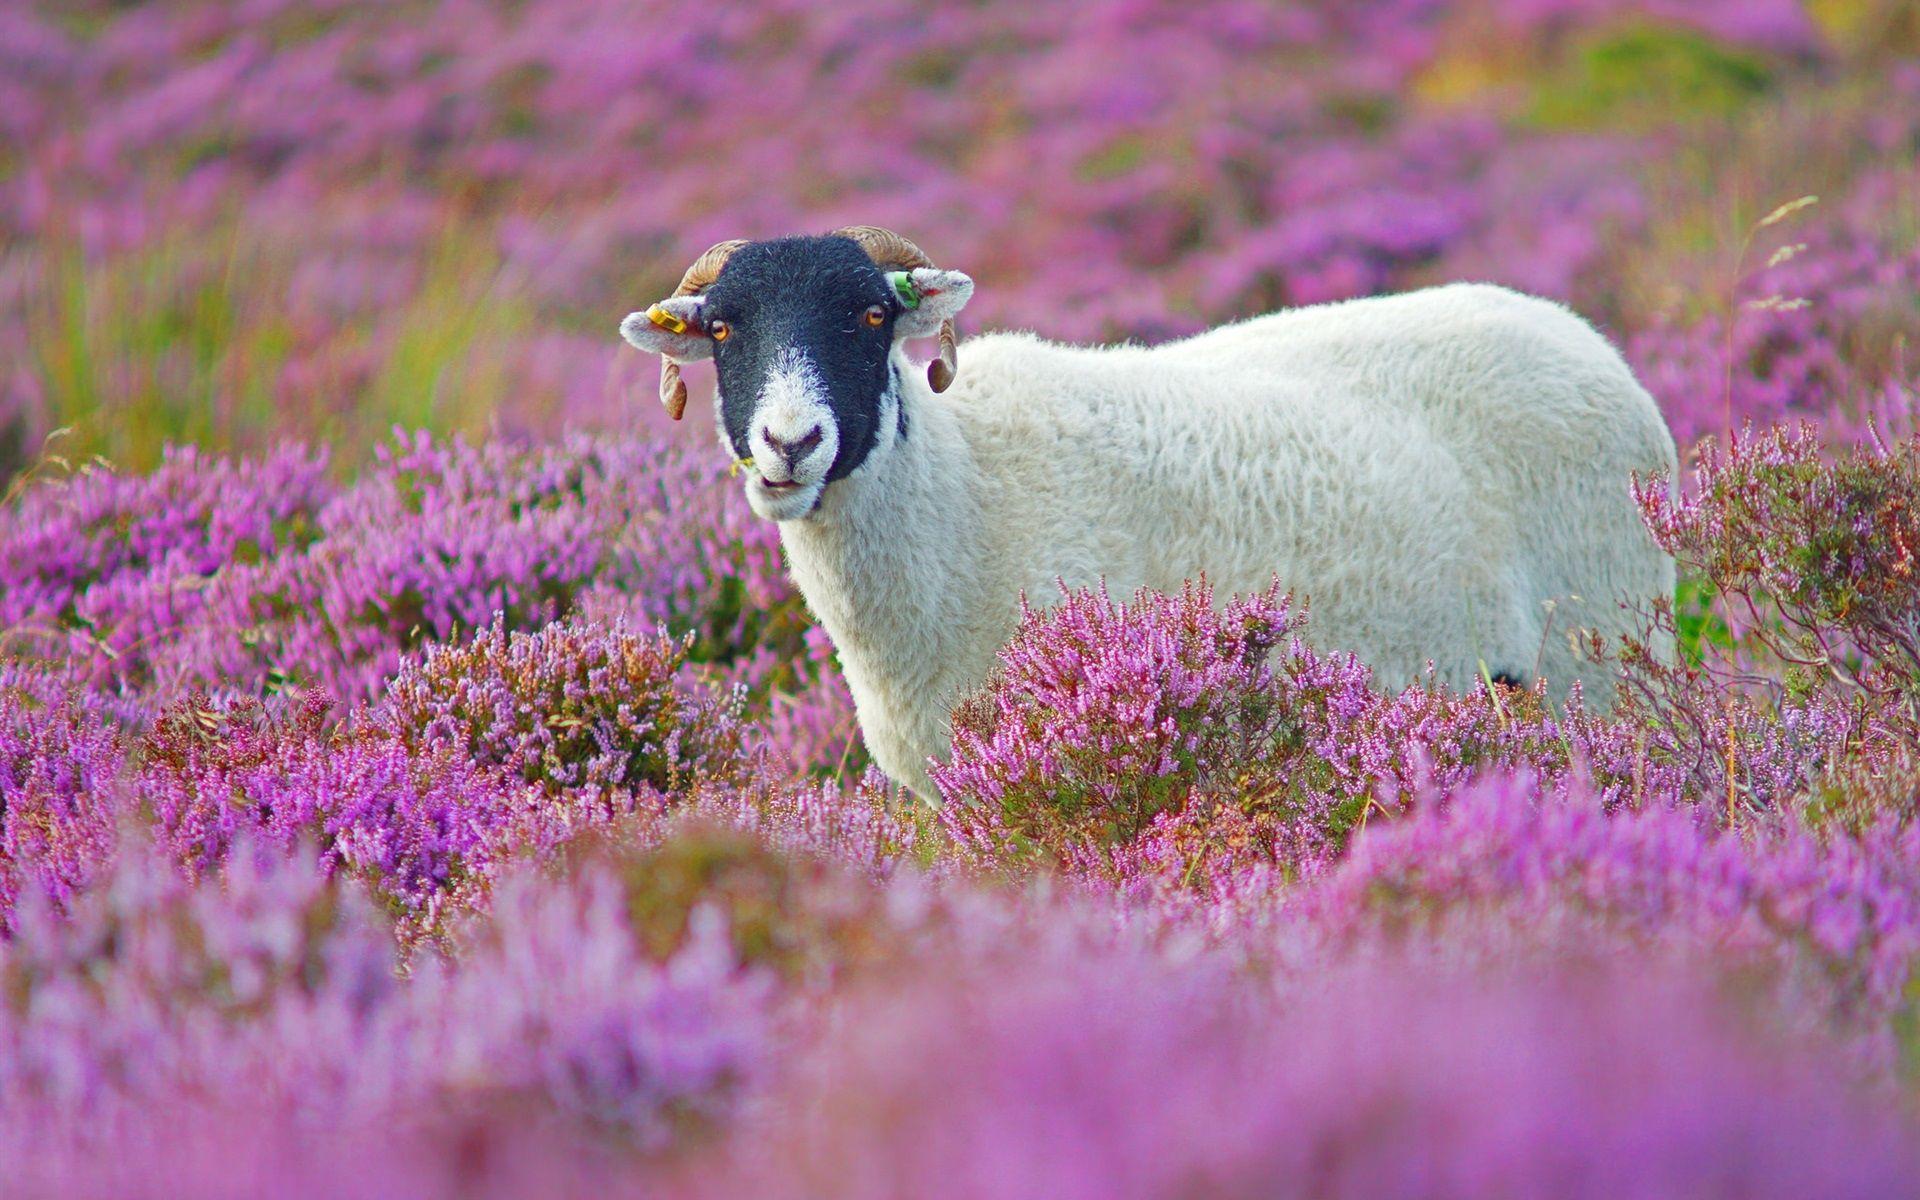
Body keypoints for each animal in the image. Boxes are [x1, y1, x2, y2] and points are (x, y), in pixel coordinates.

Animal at [620, 227, 1678, 795]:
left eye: (872, 317)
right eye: (724, 330)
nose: (789, 445)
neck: (964, 490)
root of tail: (1590, 344)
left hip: (1599, 653)